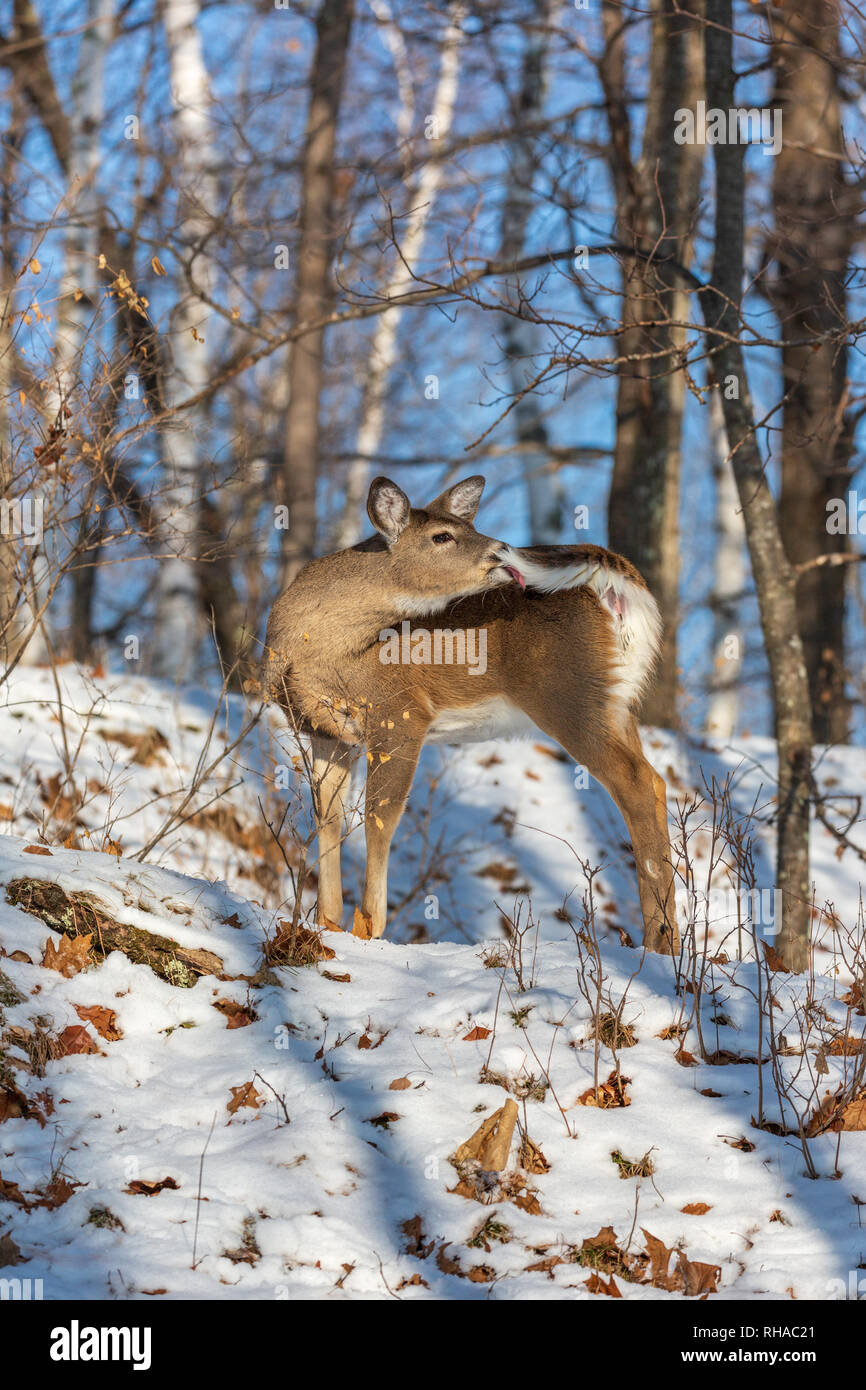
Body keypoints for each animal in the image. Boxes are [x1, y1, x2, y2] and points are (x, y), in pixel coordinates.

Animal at [264, 475, 678, 955]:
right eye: (442, 535)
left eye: (469, 527)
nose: (501, 549)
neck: (325, 649)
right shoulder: (325, 731)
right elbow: (327, 816)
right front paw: (326, 924)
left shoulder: (400, 713)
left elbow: (379, 817)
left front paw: (367, 928)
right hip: (618, 704)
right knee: (656, 781)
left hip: (569, 695)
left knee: (636, 782)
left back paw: (660, 941)